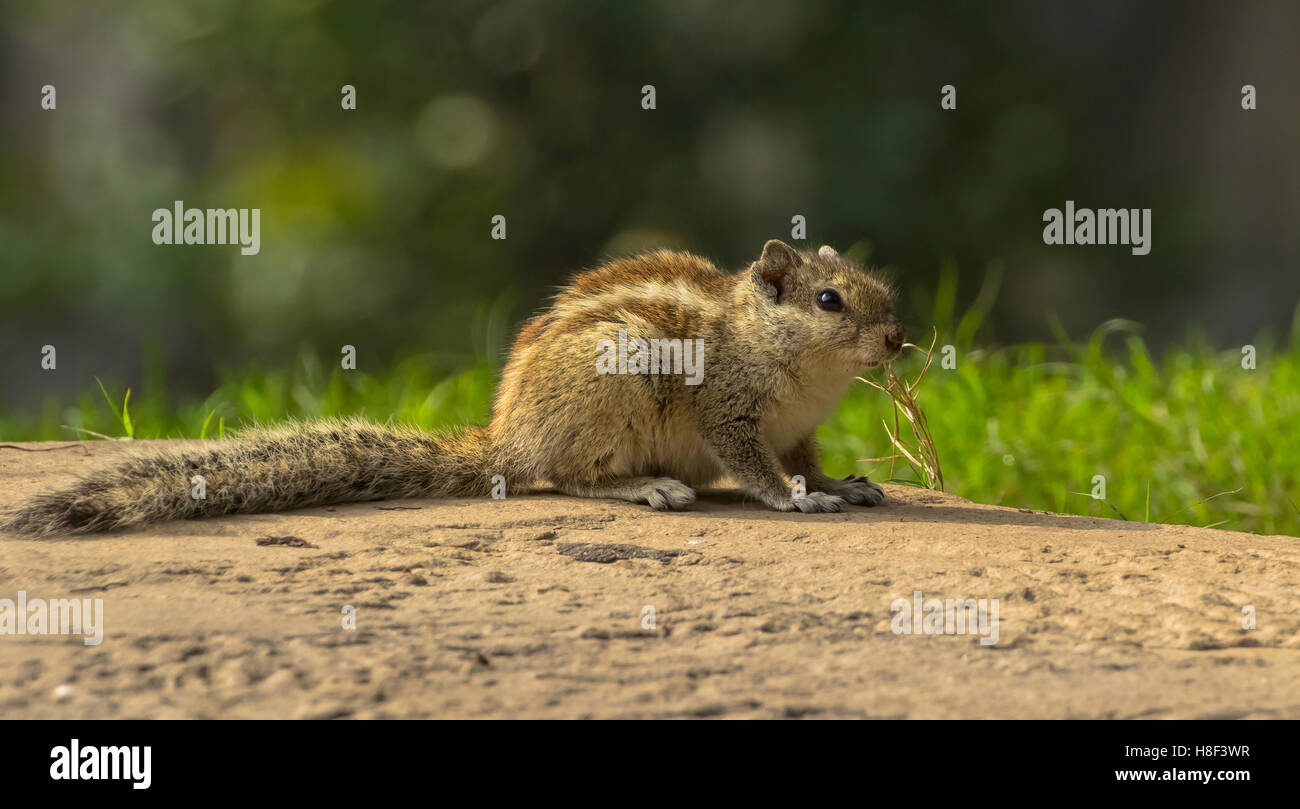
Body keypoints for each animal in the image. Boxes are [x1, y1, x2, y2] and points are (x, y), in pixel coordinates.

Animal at [2, 239, 904, 535]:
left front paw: (845, 484)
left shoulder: (799, 428)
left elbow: (810, 458)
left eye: (880, 289)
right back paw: (646, 486)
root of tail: (505, 437)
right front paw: (796, 499)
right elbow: (755, 467)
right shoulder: (731, 414)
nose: (900, 339)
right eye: (830, 300)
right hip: (607, 396)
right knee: (566, 477)